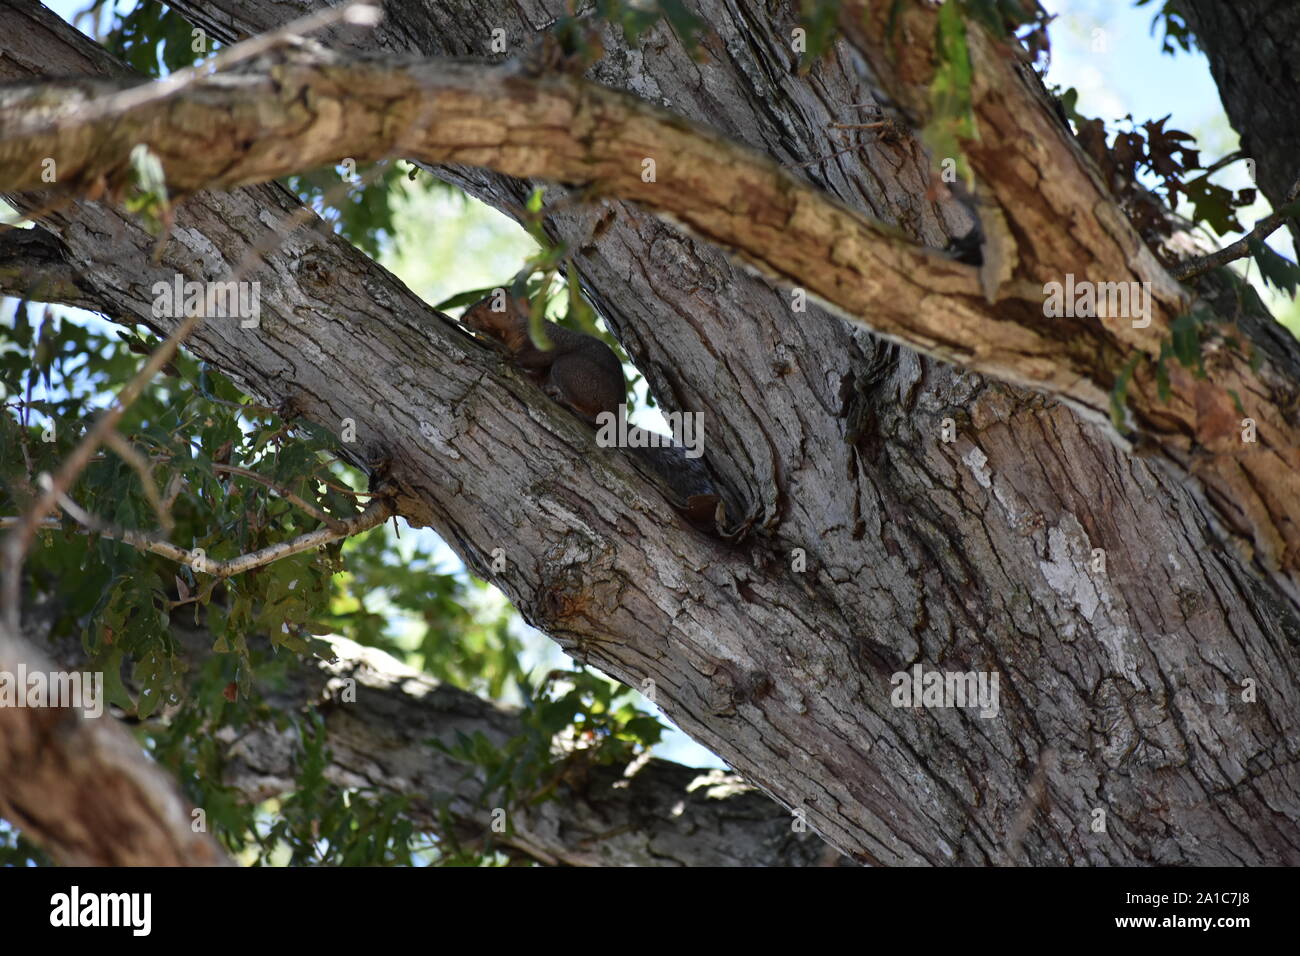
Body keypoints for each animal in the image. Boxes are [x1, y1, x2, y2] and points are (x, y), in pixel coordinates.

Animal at [461, 290, 625, 427]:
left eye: (497, 304)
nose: (464, 318)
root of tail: (617, 410)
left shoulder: (547, 340)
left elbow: (535, 357)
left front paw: (508, 355)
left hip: (569, 369)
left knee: (593, 415)